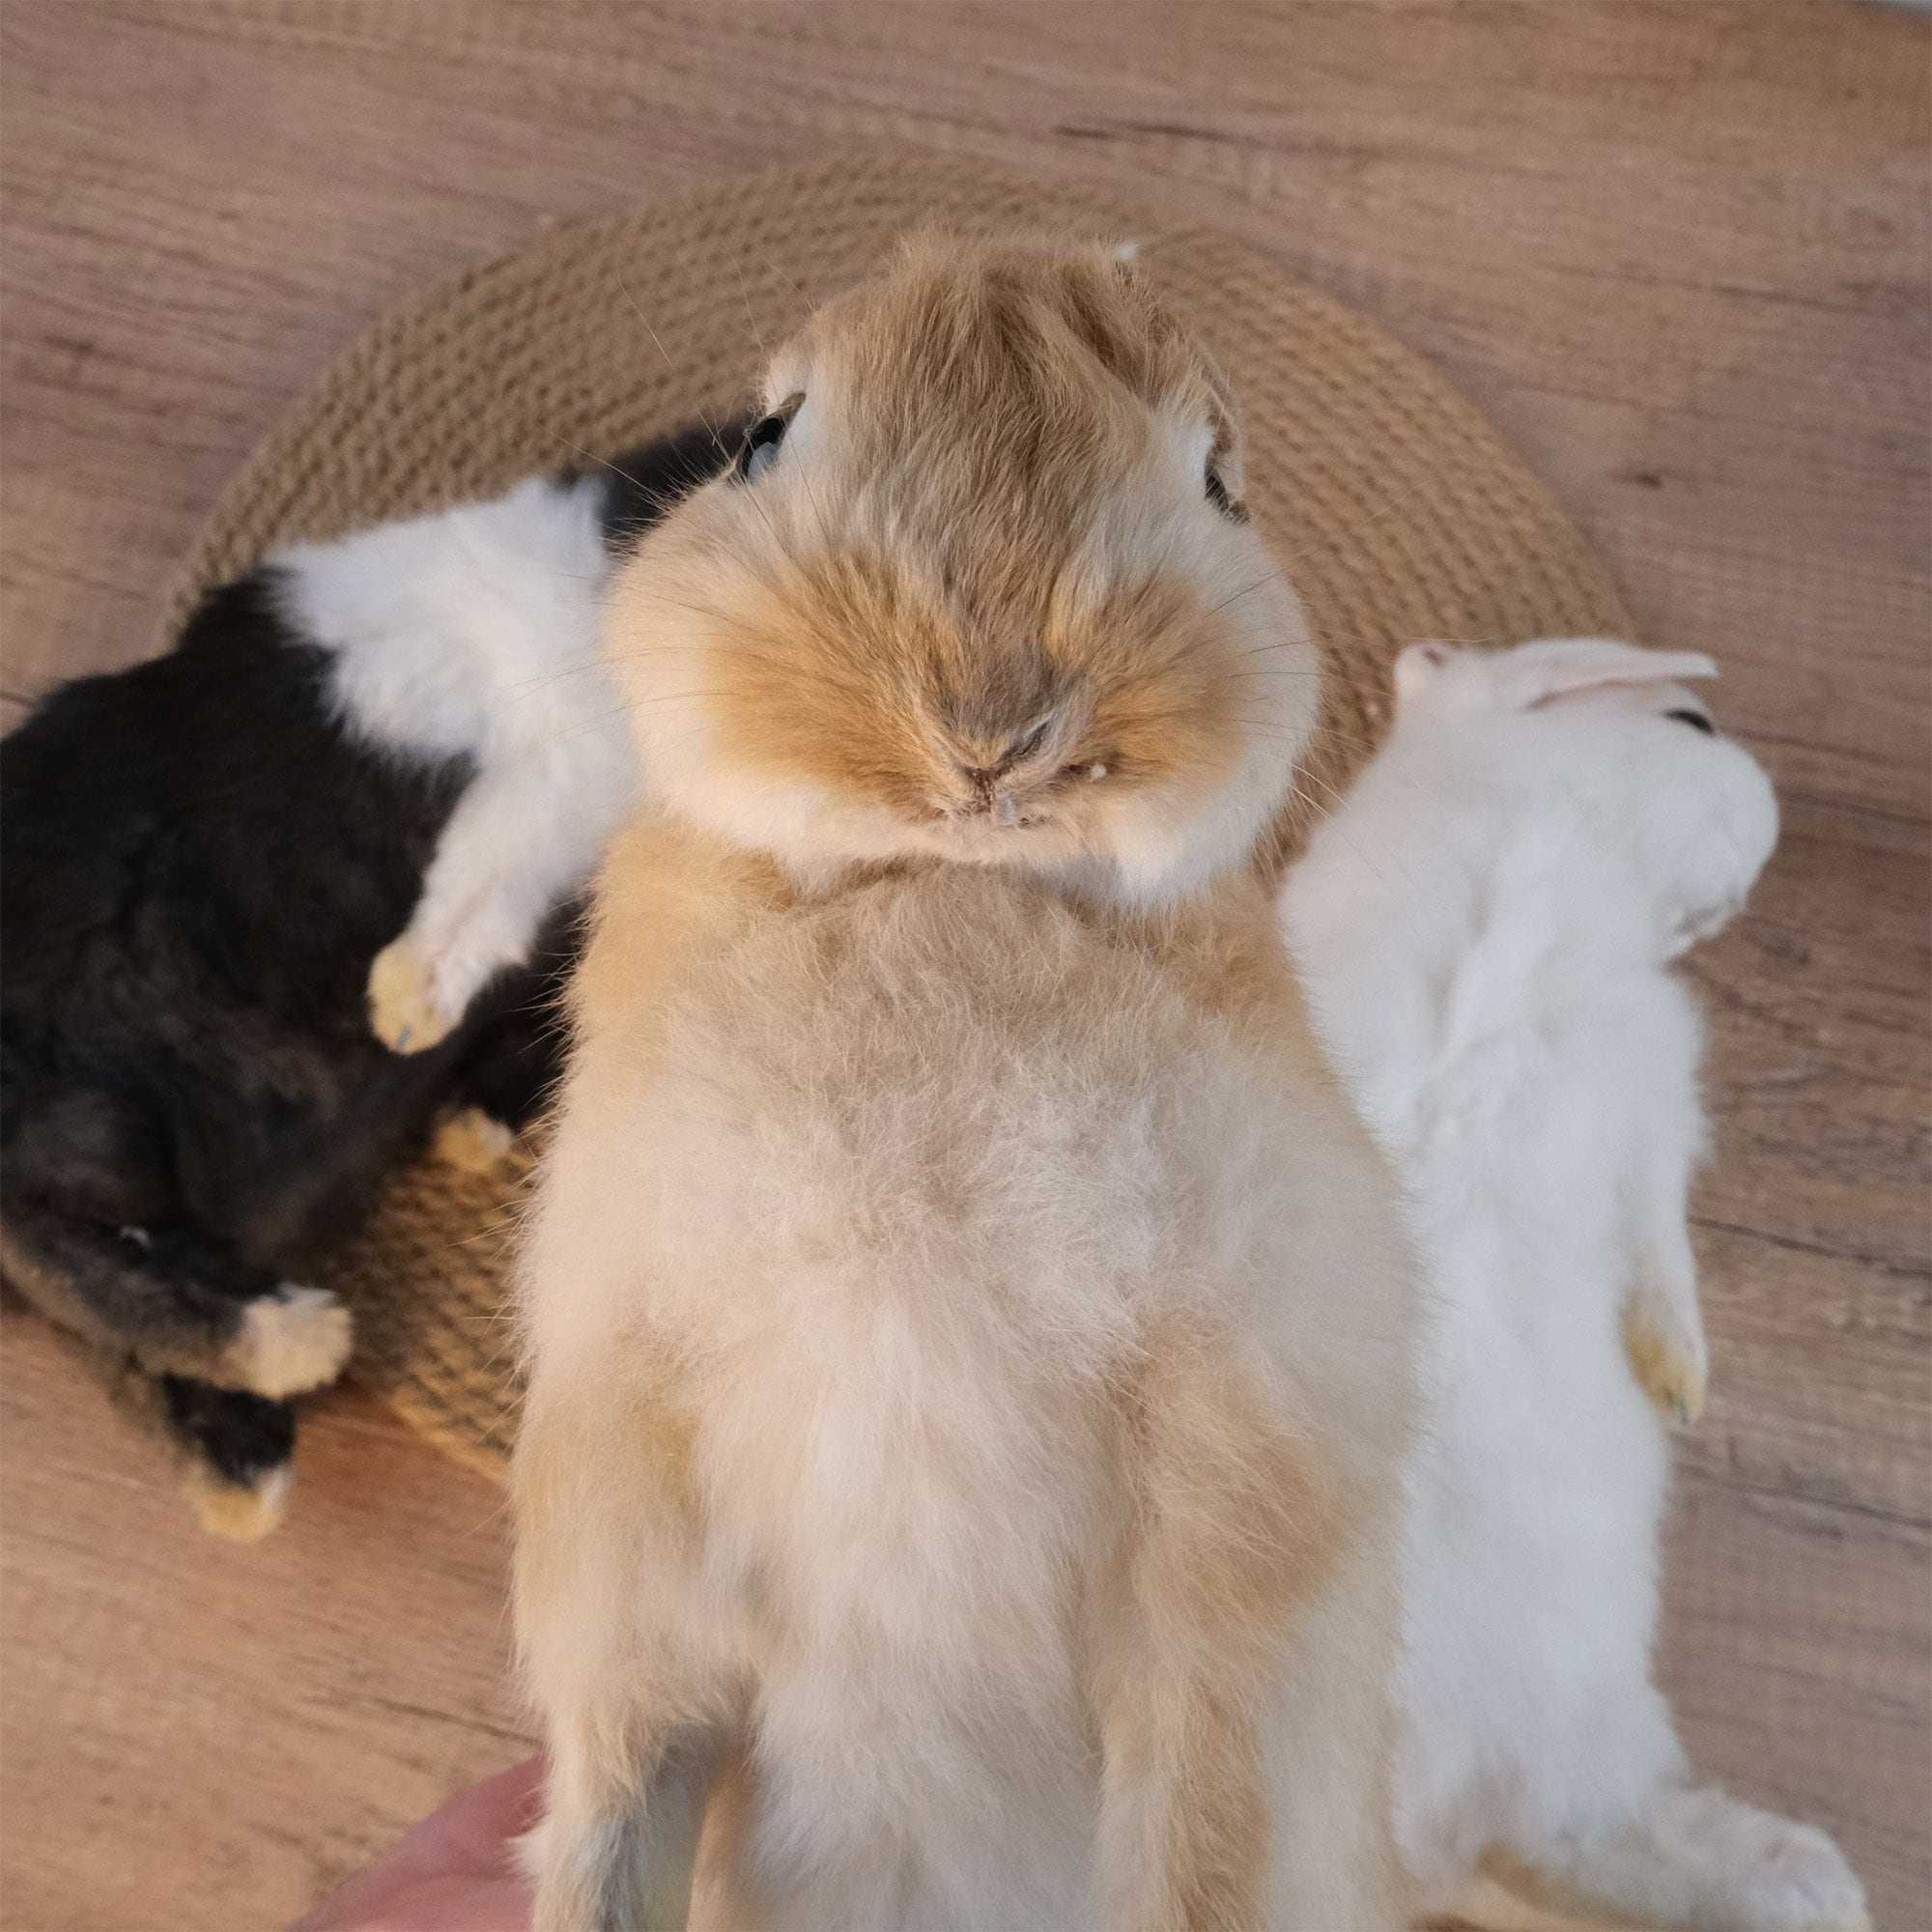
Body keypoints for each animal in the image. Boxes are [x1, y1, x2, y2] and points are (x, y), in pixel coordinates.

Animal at [0, 422, 731, 1535]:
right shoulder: (561, 767)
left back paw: (243, 1454)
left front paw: (469, 1116)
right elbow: (482, 882)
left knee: (99, 1291)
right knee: (63, 1260)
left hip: (106, 1151)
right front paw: (407, 1008)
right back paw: (288, 1343)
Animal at [511, 236, 1421, 1932]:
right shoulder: (629, 1425)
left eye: (1218, 486)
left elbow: (1204, 1806)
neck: (946, 884)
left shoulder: (1240, 1460)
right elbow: (634, 1734)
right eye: (761, 442)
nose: (994, 727)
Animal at [1281, 637, 1868, 1931]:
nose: (1761, 845)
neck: (1528, 832)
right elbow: (1661, 1252)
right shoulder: (1654, 1105)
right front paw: (1682, 1379)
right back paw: (1815, 1882)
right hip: (1574, 1761)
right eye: (1690, 723)